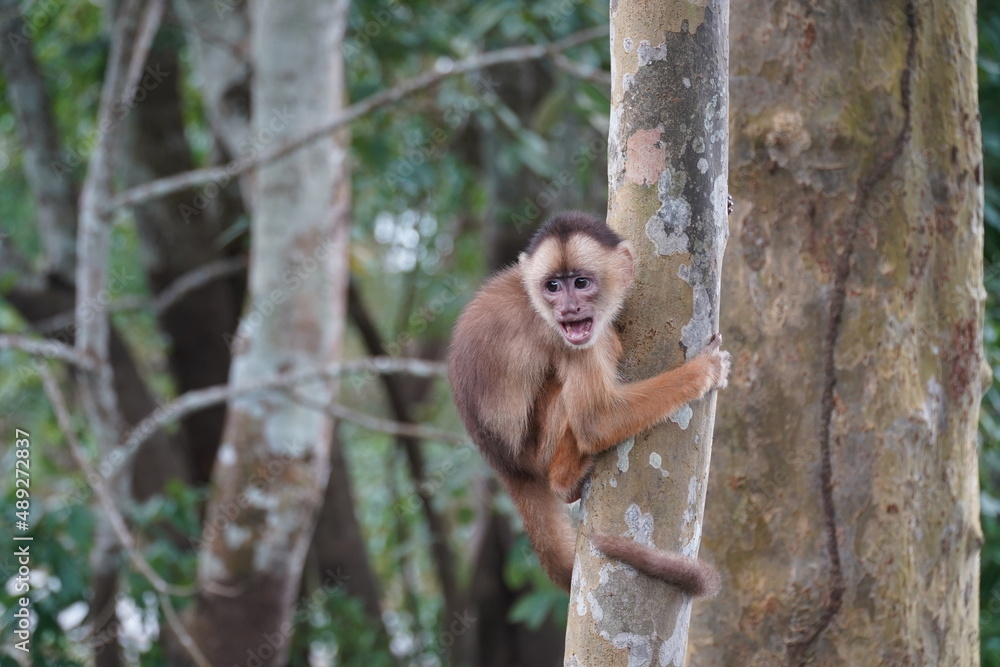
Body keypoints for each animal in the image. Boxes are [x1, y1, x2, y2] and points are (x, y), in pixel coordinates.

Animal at [447, 212, 729, 598]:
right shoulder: (558, 335)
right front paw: (701, 372)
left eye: (580, 282)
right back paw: (565, 480)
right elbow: (595, 421)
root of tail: (506, 465)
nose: (568, 308)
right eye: (553, 286)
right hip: (538, 450)